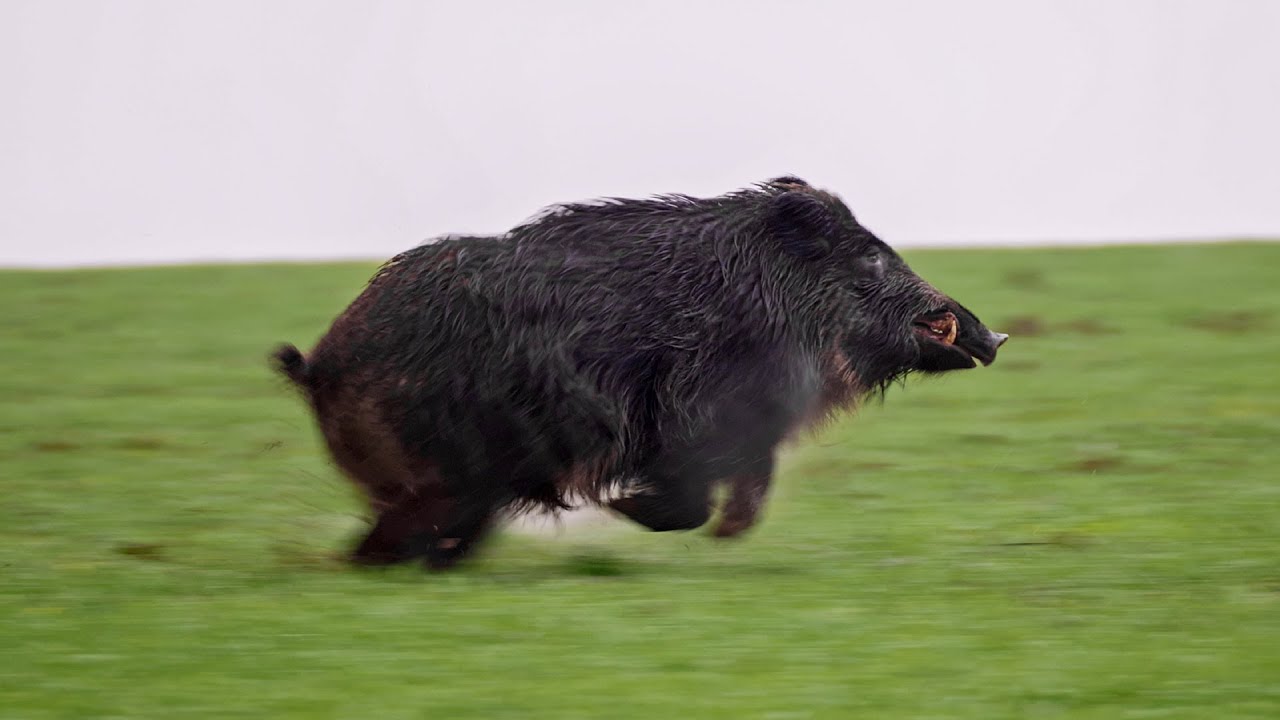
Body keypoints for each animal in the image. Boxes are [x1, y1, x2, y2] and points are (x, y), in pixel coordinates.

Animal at [273, 176, 1008, 570]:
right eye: (875, 257)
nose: (994, 335)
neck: (782, 297)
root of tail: (318, 366)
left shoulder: (751, 427)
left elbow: (751, 484)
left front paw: (726, 534)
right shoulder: (704, 410)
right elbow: (693, 492)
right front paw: (624, 508)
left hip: (457, 485)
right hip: (445, 472)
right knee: (396, 538)